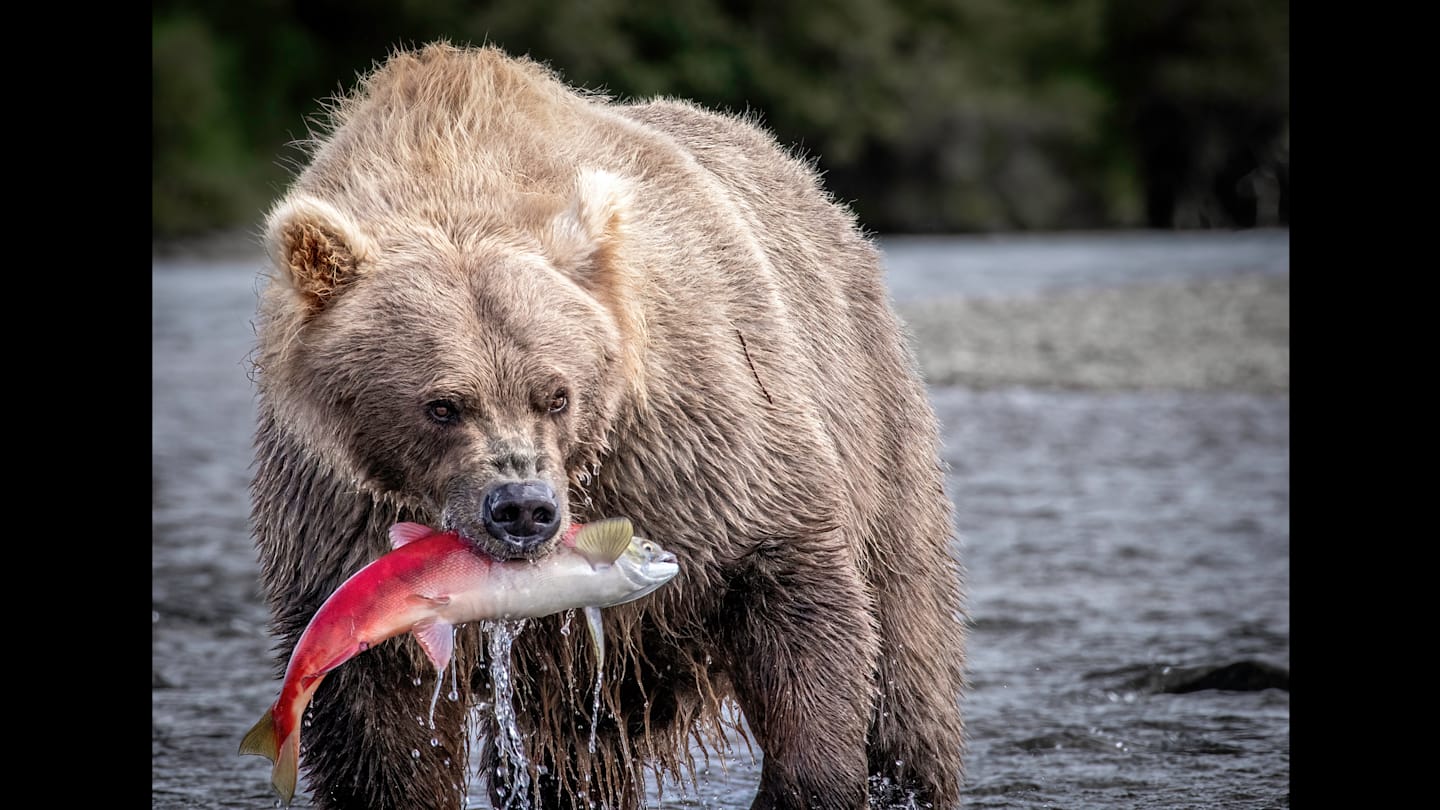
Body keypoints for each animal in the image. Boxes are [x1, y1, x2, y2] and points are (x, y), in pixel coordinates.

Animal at [249, 41, 967, 810]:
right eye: (442, 405)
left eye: (556, 395)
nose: (523, 508)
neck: (455, 157)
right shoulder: (340, 517)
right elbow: (376, 723)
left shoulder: (691, 443)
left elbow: (795, 589)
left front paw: (811, 779)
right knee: (570, 753)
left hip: (870, 410)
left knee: (907, 645)